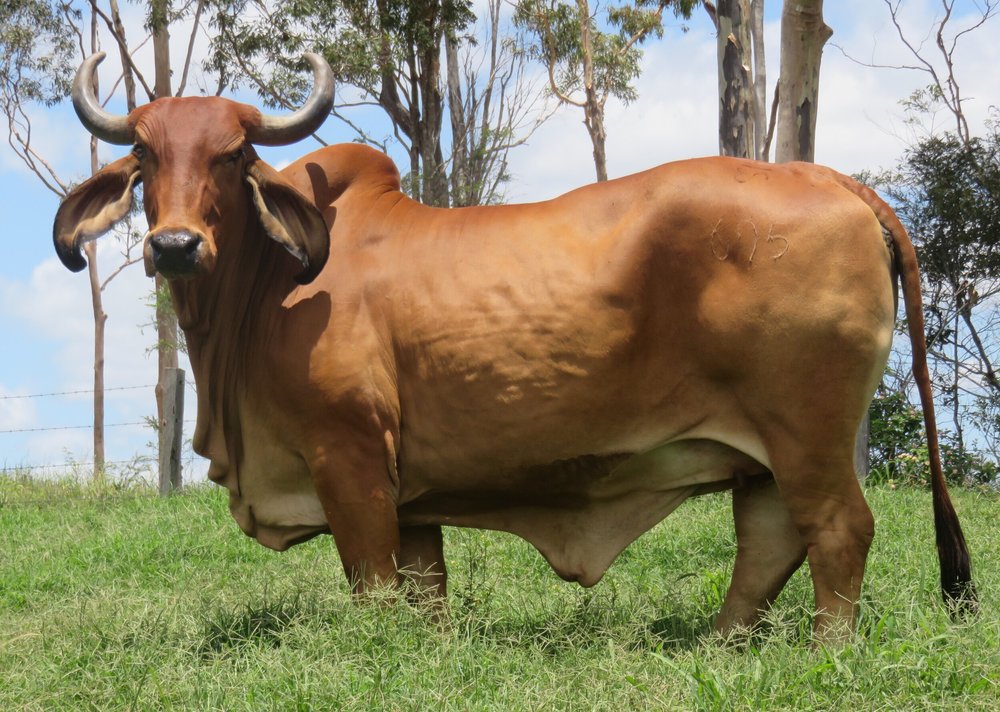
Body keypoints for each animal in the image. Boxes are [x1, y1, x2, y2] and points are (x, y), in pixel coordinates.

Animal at [53, 52, 974, 643]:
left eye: (234, 153)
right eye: (143, 153)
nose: (176, 246)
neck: (262, 295)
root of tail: (834, 180)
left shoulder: (347, 456)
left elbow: (373, 584)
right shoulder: (410, 494)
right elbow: (422, 589)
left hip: (807, 433)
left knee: (838, 531)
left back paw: (827, 651)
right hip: (763, 453)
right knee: (771, 542)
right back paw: (720, 648)